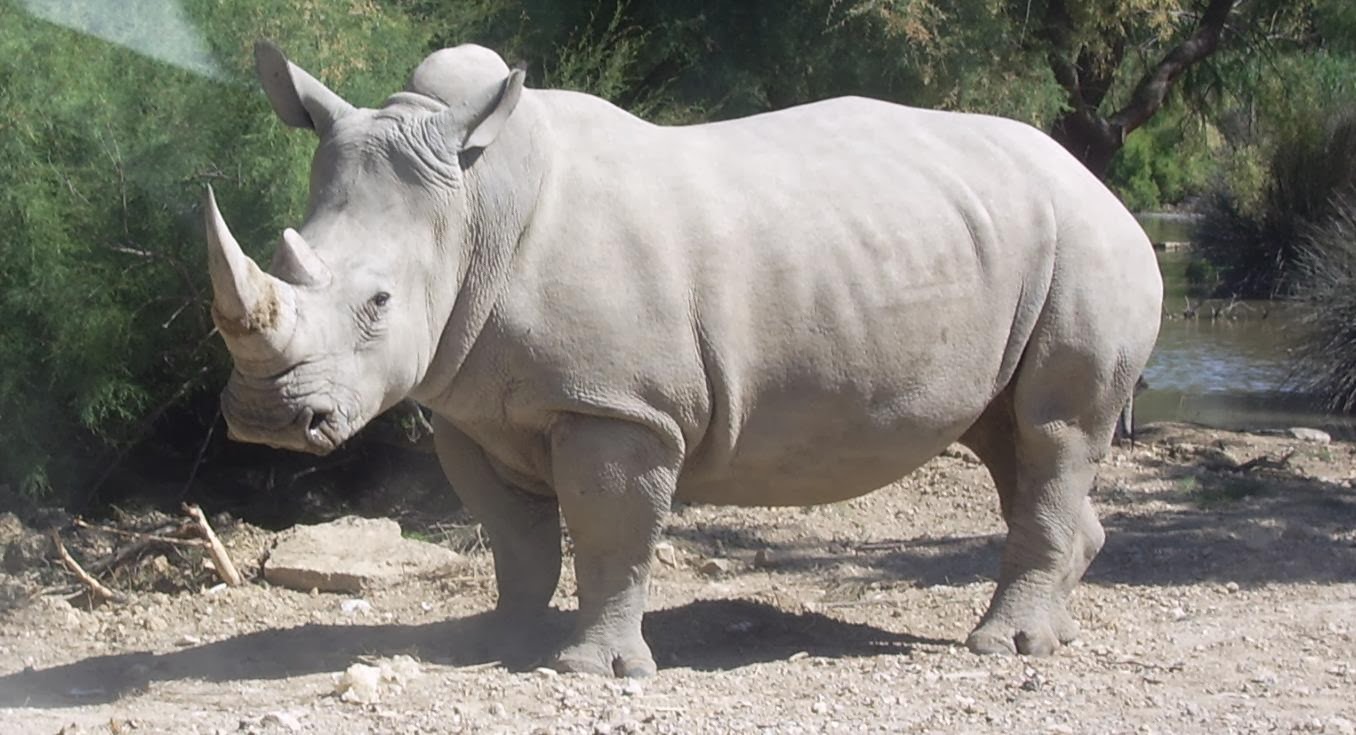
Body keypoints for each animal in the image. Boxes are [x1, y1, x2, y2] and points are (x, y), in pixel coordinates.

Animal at [206, 41, 1162, 677]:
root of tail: (1106, 188)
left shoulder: (619, 405)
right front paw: (496, 643)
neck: (475, 206)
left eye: (379, 304)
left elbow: (609, 530)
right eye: (281, 254)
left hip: (1091, 245)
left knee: (1052, 431)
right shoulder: (468, 407)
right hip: (1014, 242)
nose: (265, 418)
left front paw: (591, 670)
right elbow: (515, 538)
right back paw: (1055, 631)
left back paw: (1005, 647)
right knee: (1013, 439)